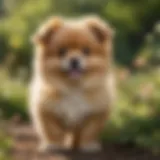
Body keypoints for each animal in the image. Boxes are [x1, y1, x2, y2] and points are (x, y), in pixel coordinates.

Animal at [29, 15, 115, 152]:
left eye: (86, 51)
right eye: (62, 51)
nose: (74, 60)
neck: (73, 88)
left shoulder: (95, 114)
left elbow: (89, 132)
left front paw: (88, 146)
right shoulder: (47, 112)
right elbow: (52, 132)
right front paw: (52, 145)